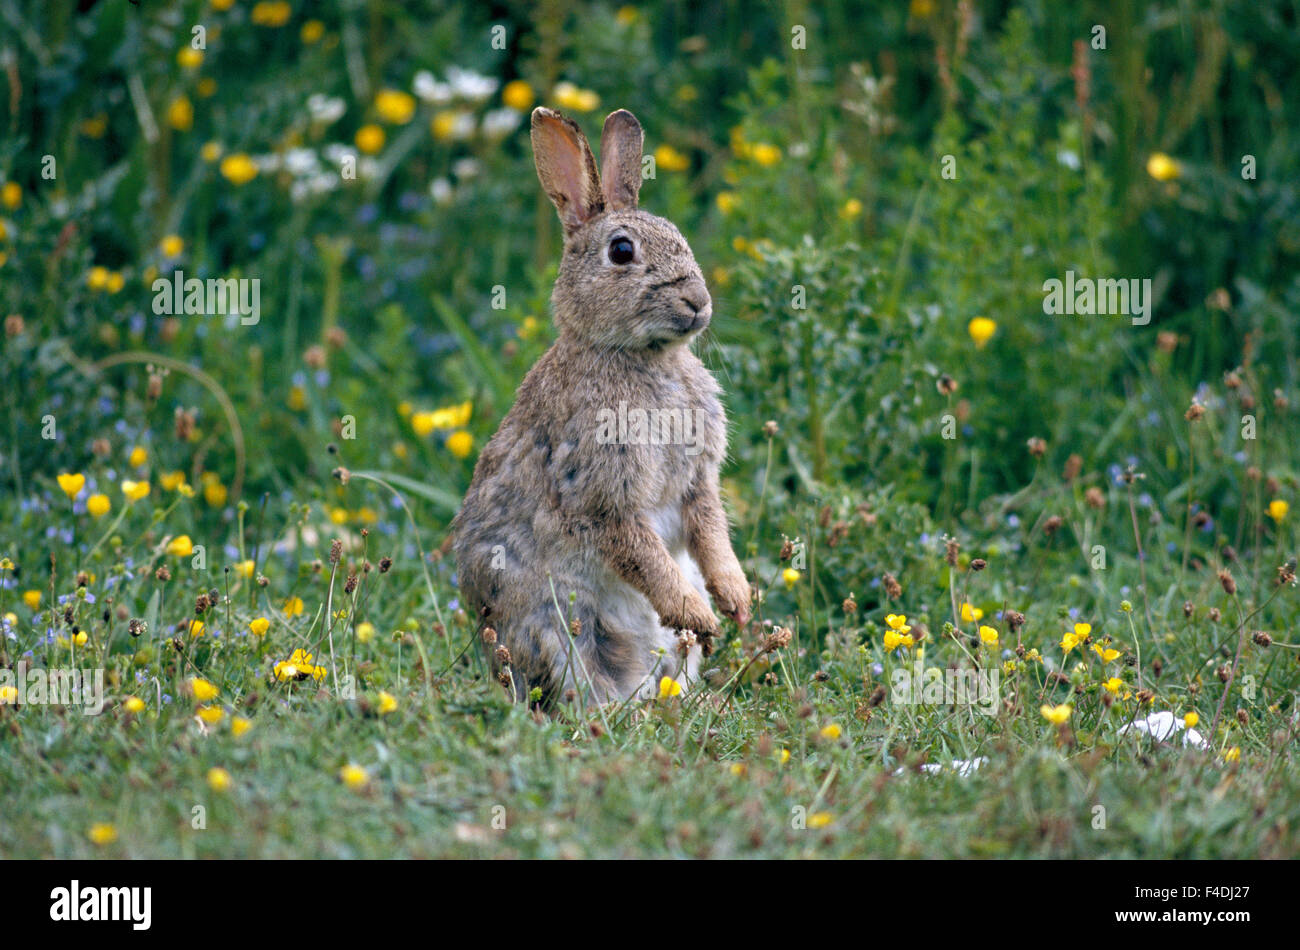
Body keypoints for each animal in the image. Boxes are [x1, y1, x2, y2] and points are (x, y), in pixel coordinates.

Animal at [451, 107, 752, 705]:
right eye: (621, 251)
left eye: (680, 237)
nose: (697, 302)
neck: (642, 357)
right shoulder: (600, 495)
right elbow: (643, 554)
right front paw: (700, 614)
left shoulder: (698, 483)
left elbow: (712, 534)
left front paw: (736, 602)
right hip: (559, 631)